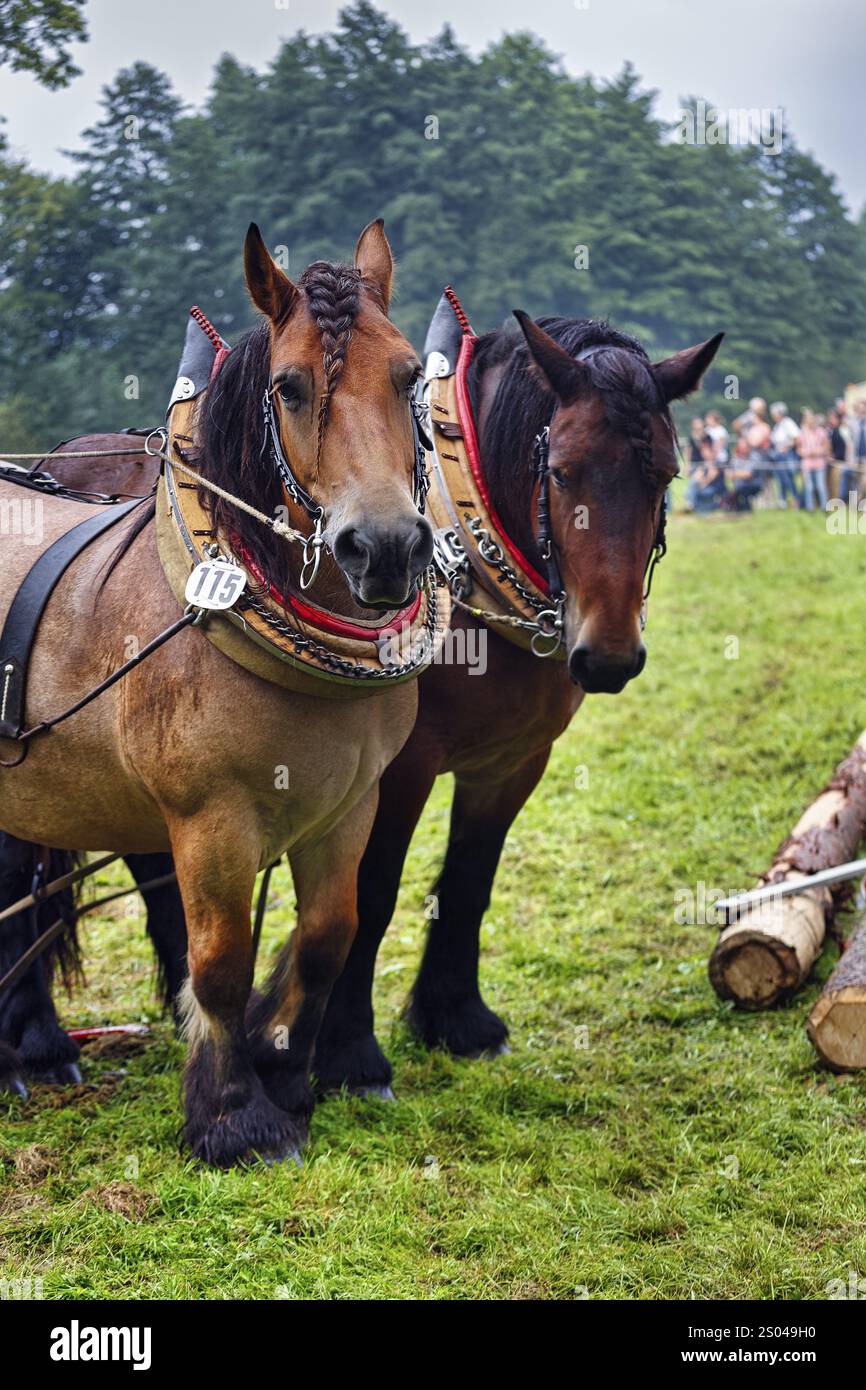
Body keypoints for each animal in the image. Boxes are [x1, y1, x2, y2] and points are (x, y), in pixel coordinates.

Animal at [0, 220, 438, 1166]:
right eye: (290, 385)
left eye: (408, 376)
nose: (385, 547)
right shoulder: (210, 819)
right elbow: (222, 963)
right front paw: (236, 1115)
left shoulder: (349, 803)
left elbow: (329, 937)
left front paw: (288, 1071)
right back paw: (33, 1052)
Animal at [311, 310, 724, 1092]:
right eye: (560, 472)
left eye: (666, 475)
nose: (609, 655)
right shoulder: (398, 769)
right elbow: (371, 891)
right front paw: (346, 1050)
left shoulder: (511, 764)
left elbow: (470, 882)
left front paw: (457, 1019)